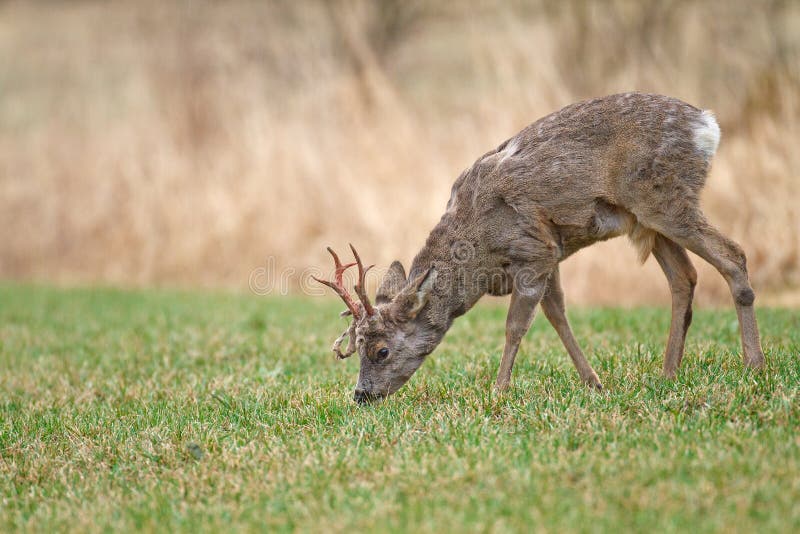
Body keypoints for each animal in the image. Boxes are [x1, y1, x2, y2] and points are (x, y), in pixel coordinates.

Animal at [314, 92, 766, 404]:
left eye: (382, 350)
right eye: (356, 349)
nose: (361, 395)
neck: (479, 250)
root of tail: (707, 126)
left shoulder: (533, 249)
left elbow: (516, 325)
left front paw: (498, 391)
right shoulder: (550, 252)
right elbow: (557, 315)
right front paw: (593, 382)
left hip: (666, 200)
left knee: (733, 255)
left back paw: (754, 365)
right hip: (648, 221)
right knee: (684, 278)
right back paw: (669, 372)